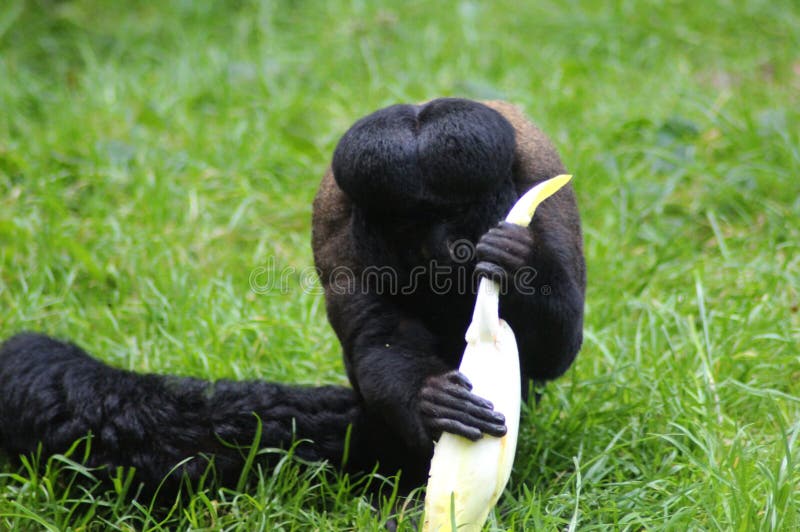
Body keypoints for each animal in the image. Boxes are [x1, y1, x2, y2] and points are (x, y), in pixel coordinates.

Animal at [313, 98, 585, 480]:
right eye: (406, 223)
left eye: (455, 212)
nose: (438, 247)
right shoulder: (339, 223)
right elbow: (381, 335)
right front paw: (430, 402)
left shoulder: (543, 180)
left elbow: (559, 349)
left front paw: (519, 260)